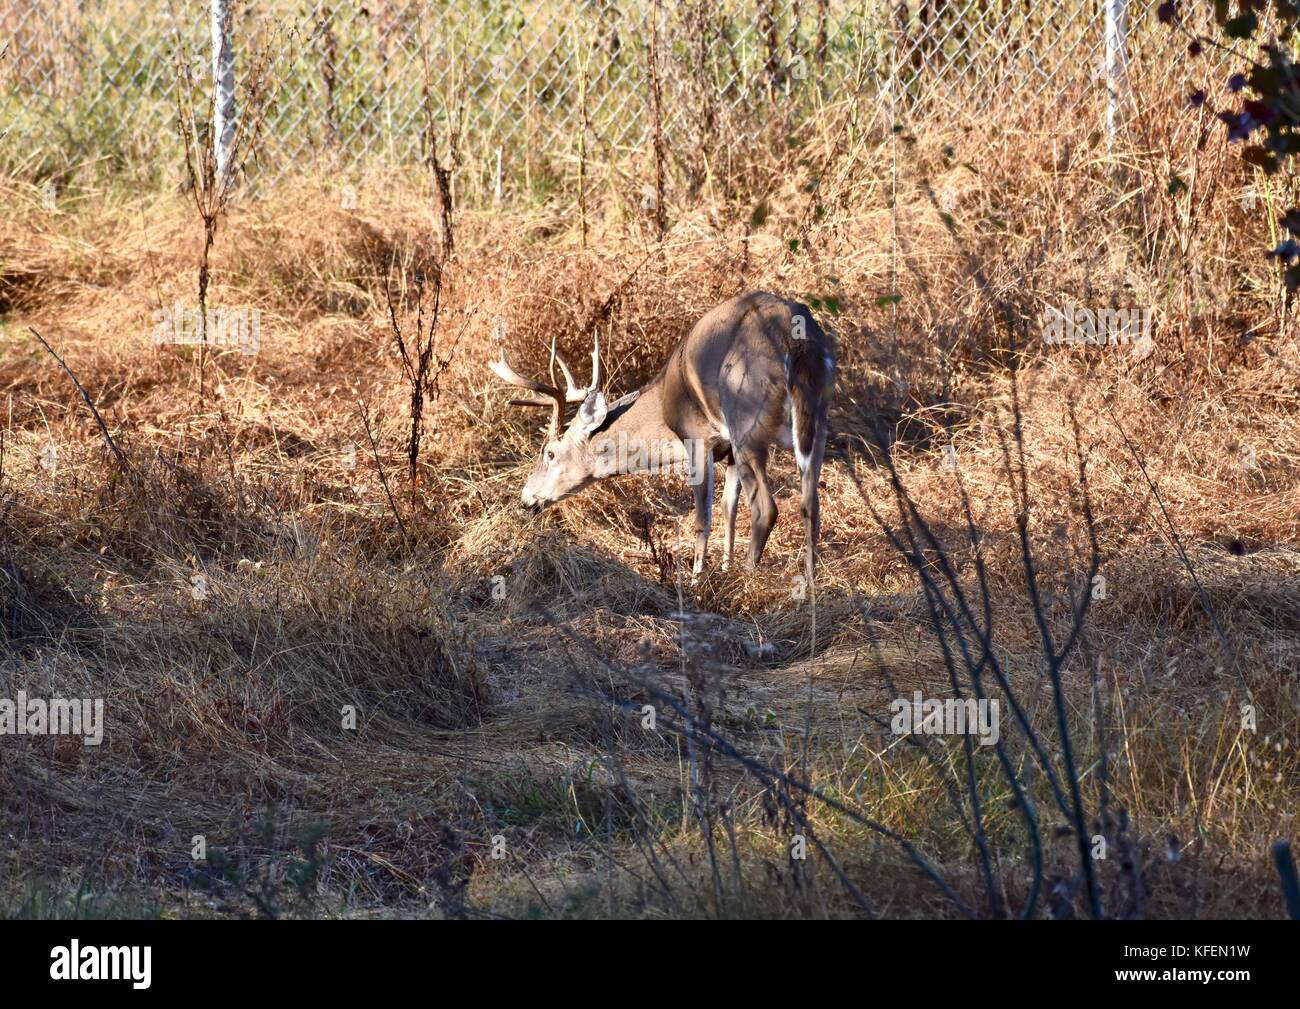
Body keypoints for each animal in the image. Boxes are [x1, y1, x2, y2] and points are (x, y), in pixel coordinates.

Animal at [489, 291, 835, 579]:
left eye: (550, 453)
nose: (525, 499)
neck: (662, 403)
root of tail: (797, 340)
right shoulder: (728, 452)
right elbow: (728, 508)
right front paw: (725, 568)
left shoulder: (699, 440)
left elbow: (703, 518)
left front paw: (699, 580)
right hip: (816, 418)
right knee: (810, 504)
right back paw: (810, 585)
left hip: (746, 417)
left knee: (766, 508)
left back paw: (748, 581)